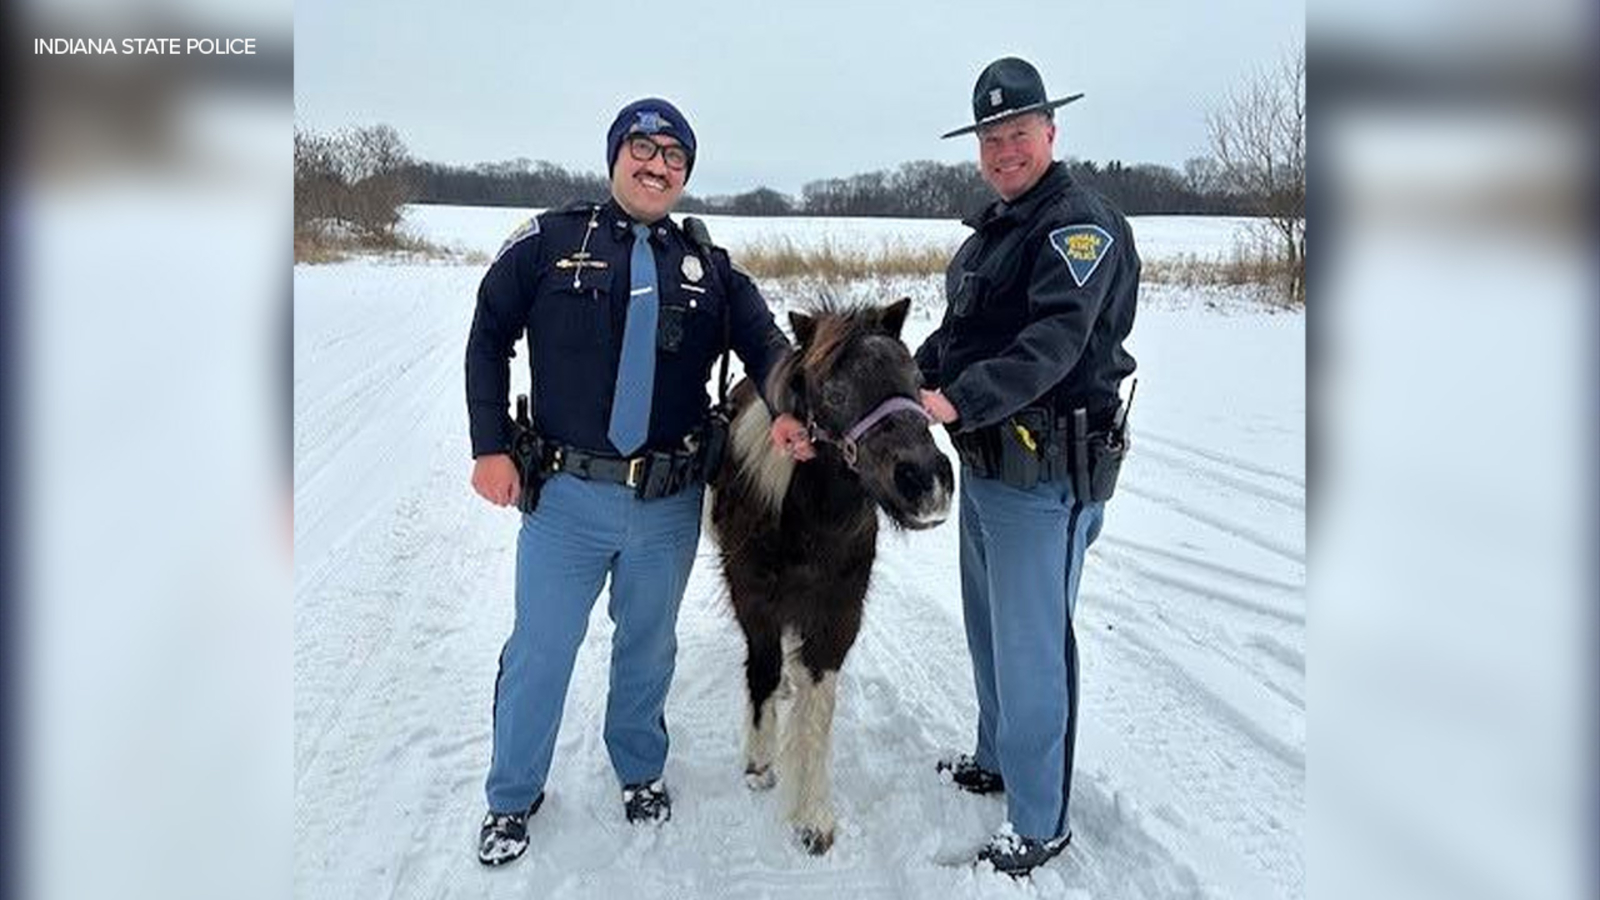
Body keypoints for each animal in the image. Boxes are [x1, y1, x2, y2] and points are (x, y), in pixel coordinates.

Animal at [708, 296, 955, 854]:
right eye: (834, 390)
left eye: (917, 378)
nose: (928, 483)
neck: (808, 522)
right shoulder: (754, 602)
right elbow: (762, 670)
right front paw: (759, 764)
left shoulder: (838, 613)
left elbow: (818, 708)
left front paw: (813, 816)